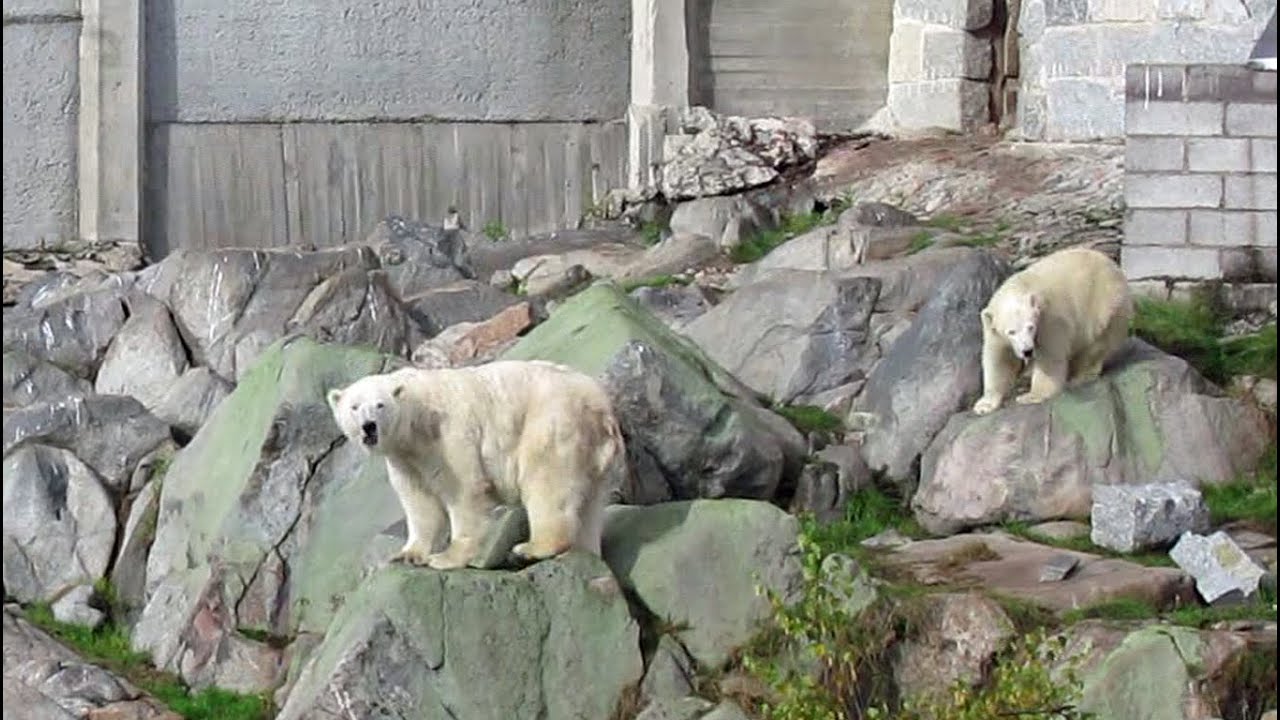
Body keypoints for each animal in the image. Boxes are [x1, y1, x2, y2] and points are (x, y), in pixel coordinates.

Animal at [326, 359, 625, 570]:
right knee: (590, 504)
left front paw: (445, 558)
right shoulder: (406, 460)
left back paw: (529, 549)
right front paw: (408, 554)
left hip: (553, 424)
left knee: (547, 484)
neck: (418, 420)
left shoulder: (449, 437)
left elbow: (463, 491)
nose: (368, 426)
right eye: (354, 407)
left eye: (380, 405)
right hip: (594, 456)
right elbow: (421, 502)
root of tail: (602, 408)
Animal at [972, 247, 1133, 416]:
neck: (1022, 286)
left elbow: (1049, 355)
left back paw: (1079, 377)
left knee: (1095, 344)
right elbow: (999, 359)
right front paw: (984, 405)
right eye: (1011, 332)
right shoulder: (994, 331)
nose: (1027, 351)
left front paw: (1031, 396)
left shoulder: (1049, 319)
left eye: (1031, 327)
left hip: (1104, 306)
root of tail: (1116, 267)